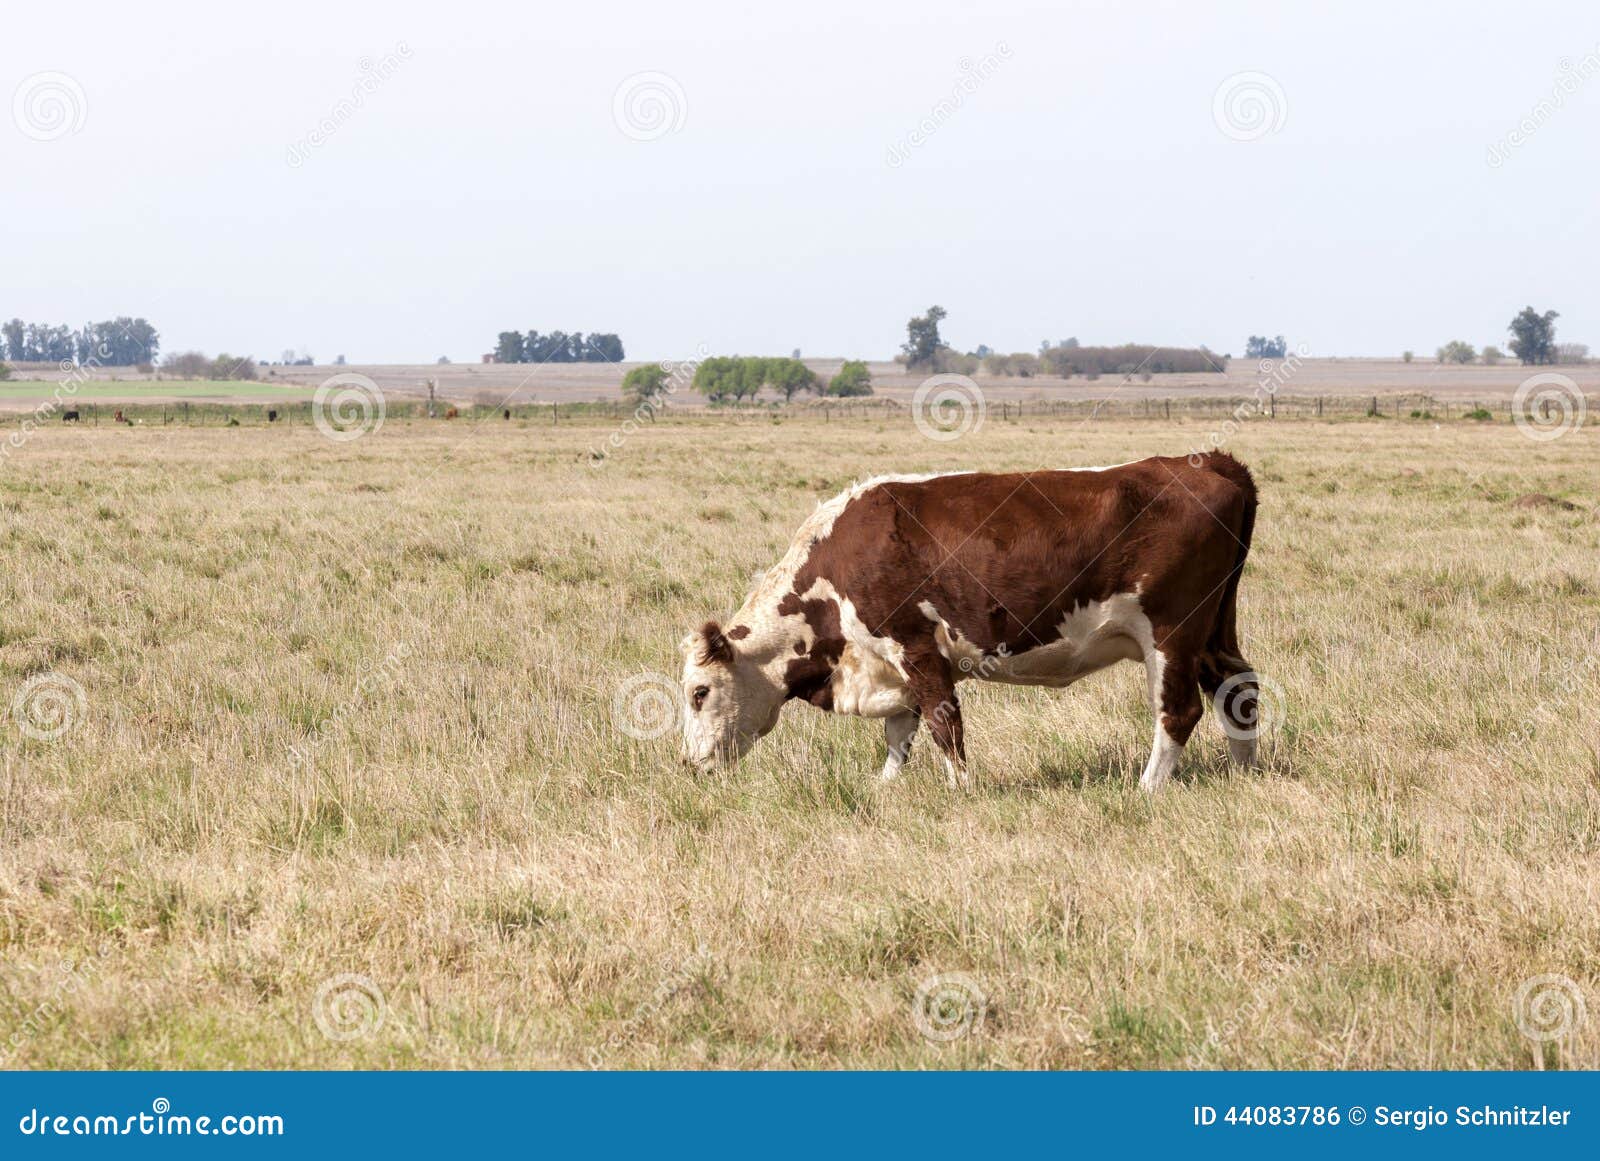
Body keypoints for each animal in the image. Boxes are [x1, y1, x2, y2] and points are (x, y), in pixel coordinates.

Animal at [678, 452, 1260, 792]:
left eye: (699, 693)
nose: (688, 763)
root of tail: (1205, 463)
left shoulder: (915, 648)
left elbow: (943, 725)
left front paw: (959, 790)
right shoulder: (891, 667)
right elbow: (900, 733)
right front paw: (884, 789)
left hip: (1173, 634)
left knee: (1179, 712)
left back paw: (1145, 789)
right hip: (1213, 631)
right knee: (1238, 689)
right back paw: (1244, 773)